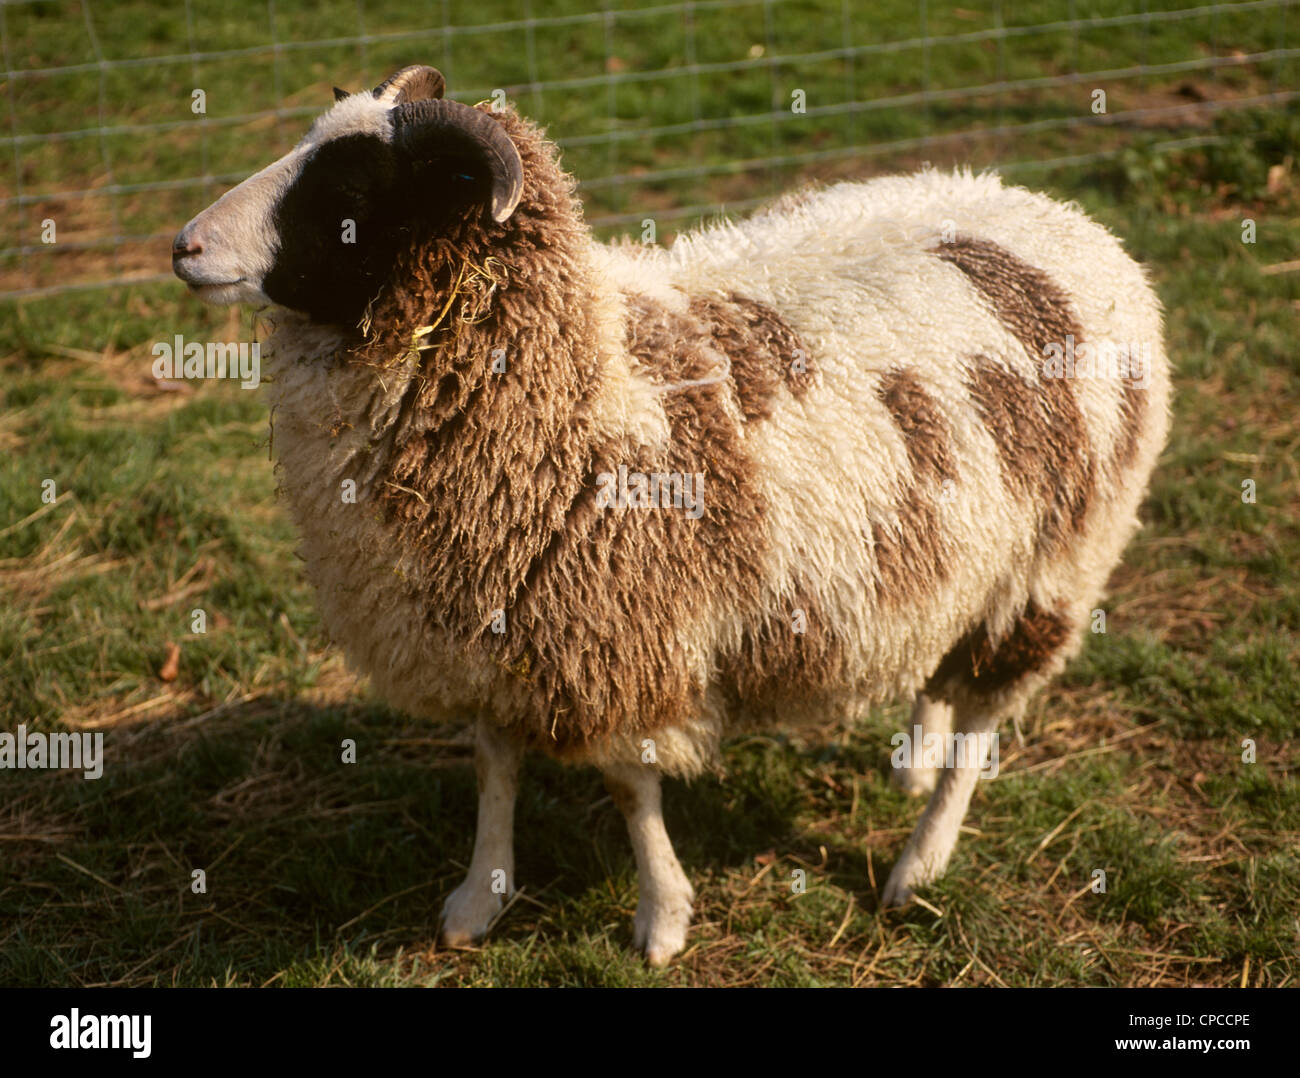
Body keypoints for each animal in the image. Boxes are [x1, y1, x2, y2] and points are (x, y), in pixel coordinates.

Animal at [172, 65, 1171, 965]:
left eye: (348, 191)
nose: (183, 246)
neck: (588, 371)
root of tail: (1060, 217)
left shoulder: (623, 625)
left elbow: (629, 788)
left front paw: (662, 920)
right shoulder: (491, 626)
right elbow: (494, 761)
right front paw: (477, 900)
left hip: (1055, 562)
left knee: (982, 722)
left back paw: (919, 863)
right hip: (957, 547)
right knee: (943, 671)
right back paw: (911, 761)